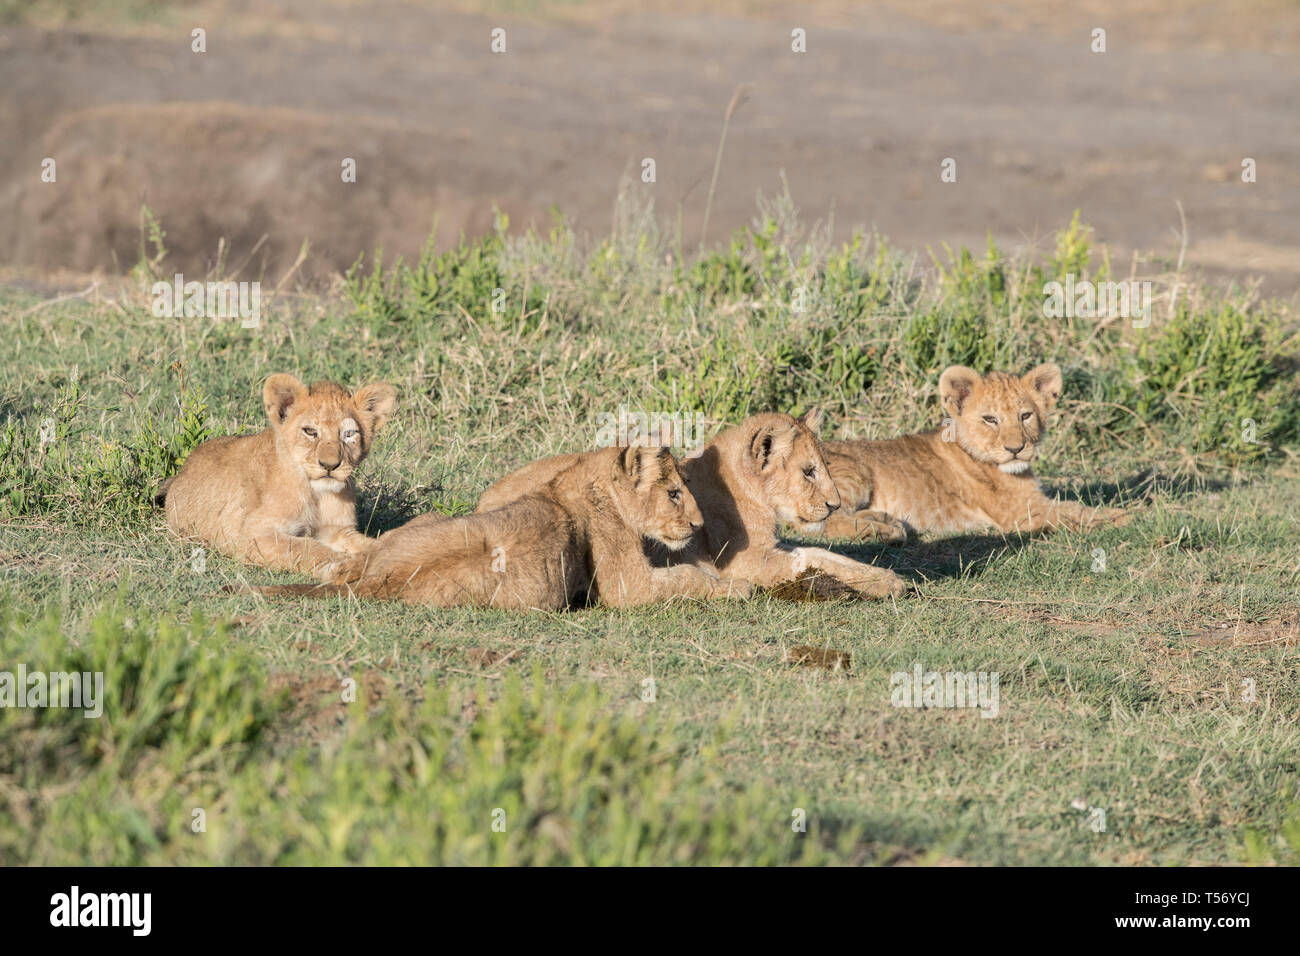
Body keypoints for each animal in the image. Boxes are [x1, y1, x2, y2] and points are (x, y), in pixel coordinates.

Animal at [156, 373, 397, 578]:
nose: (330, 465)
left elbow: (372, 543)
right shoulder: (251, 535)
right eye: (310, 431)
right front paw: (352, 565)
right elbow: (307, 547)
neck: (316, 494)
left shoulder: (336, 531)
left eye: (348, 434)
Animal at [251, 444, 746, 609]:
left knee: (348, 562)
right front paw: (734, 586)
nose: (698, 523)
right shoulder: (627, 586)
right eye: (675, 493)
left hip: (425, 522)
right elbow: (681, 579)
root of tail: (384, 577)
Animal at [477, 410, 907, 601]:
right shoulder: (747, 563)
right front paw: (886, 582)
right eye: (808, 471)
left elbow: (829, 555)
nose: (835, 504)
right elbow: (812, 558)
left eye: (825, 467)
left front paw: (887, 579)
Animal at [815, 363, 1128, 540]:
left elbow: (1076, 508)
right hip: (853, 474)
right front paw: (1125, 515)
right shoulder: (1022, 513)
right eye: (990, 419)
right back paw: (883, 531)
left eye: (1025, 416)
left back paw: (885, 520)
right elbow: (1077, 510)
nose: (1016, 449)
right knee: (822, 523)